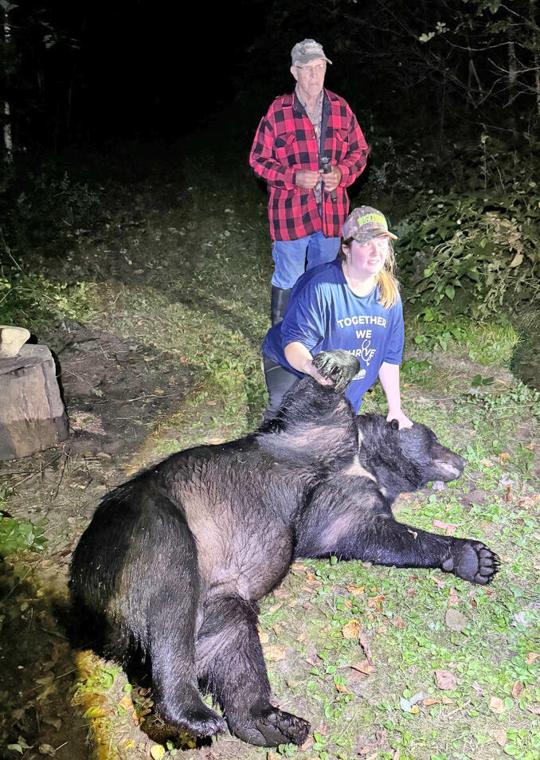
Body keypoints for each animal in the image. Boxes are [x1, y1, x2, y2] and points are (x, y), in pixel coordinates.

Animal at [69, 350, 498, 748]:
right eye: (434, 439)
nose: (461, 458)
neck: (368, 461)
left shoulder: (342, 503)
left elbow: (369, 534)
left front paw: (476, 558)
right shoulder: (309, 436)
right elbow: (316, 402)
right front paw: (337, 363)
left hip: (215, 599)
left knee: (230, 636)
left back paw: (269, 721)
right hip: (145, 528)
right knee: (171, 587)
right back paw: (193, 711)